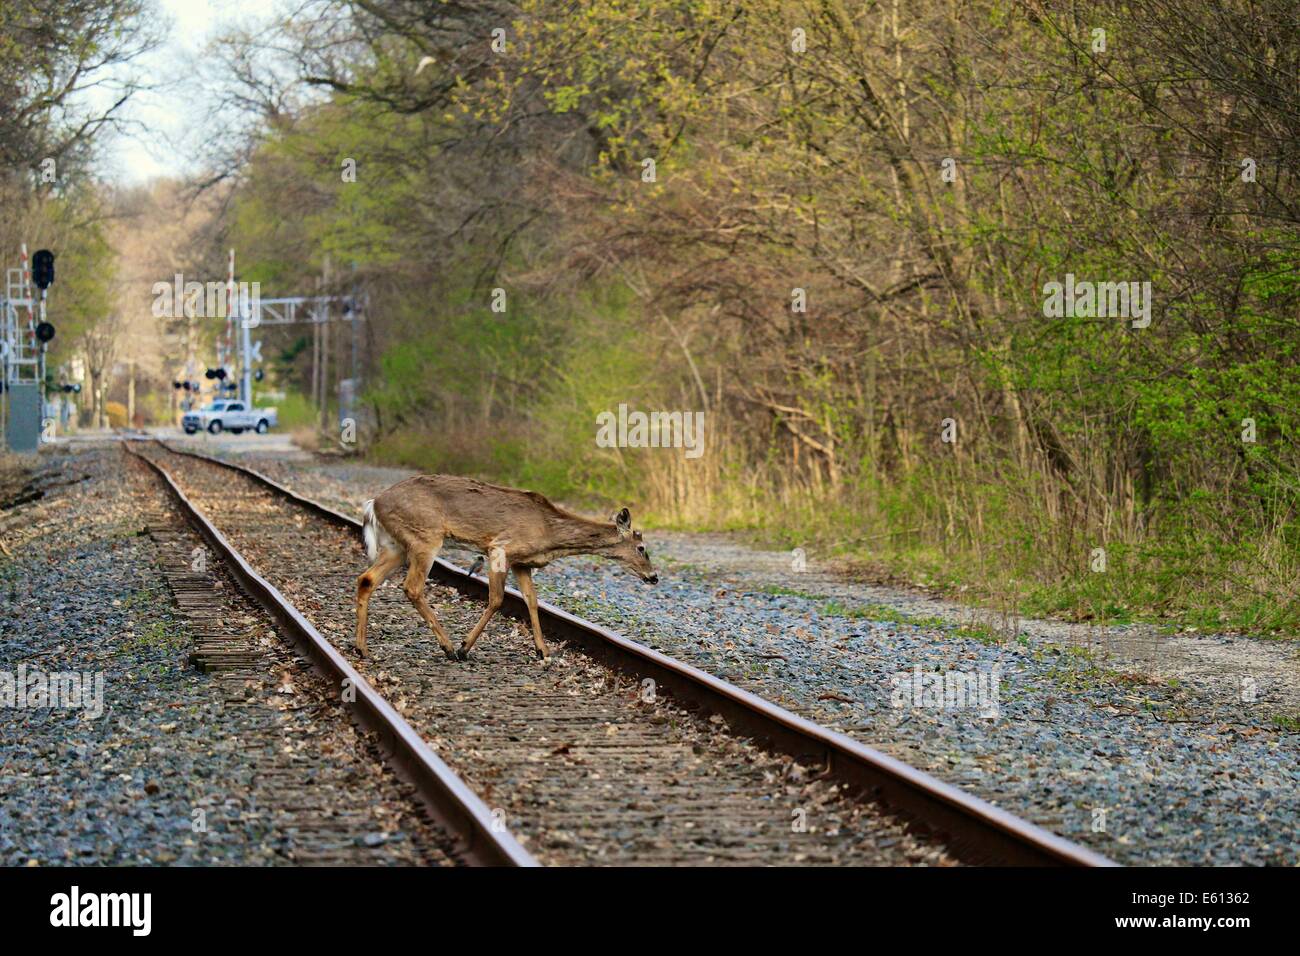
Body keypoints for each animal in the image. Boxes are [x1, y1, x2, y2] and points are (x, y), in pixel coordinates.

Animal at [354, 474, 658, 663]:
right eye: (641, 548)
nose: (654, 577)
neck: (549, 535)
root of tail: (373, 503)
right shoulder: (500, 548)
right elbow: (497, 599)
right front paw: (465, 648)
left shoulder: (522, 563)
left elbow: (532, 601)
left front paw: (543, 651)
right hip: (424, 537)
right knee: (412, 587)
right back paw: (449, 647)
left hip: (396, 545)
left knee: (366, 579)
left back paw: (362, 649)